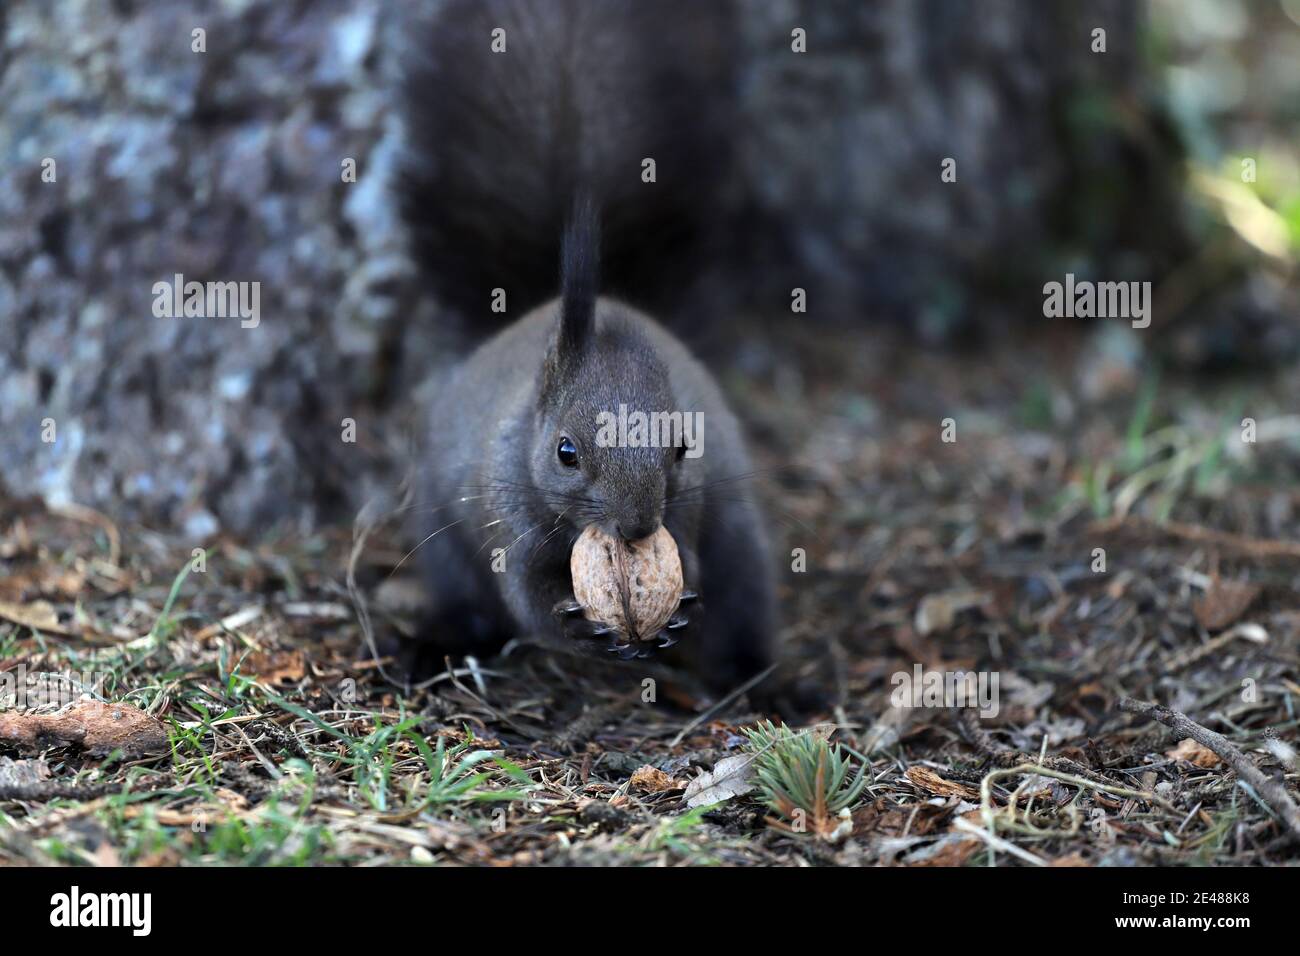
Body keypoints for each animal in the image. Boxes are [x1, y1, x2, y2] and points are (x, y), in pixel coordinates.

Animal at [398, 0, 775, 689]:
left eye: (682, 446)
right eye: (565, 452)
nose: (638, 526)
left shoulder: (689, 501)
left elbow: (691, 554)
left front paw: (679, 608)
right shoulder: (503, 510)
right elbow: (524, 595)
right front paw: (573, 625)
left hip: (741, 543)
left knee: (743, 601)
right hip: (442, 538)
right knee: (470, 603)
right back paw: (436, 645)